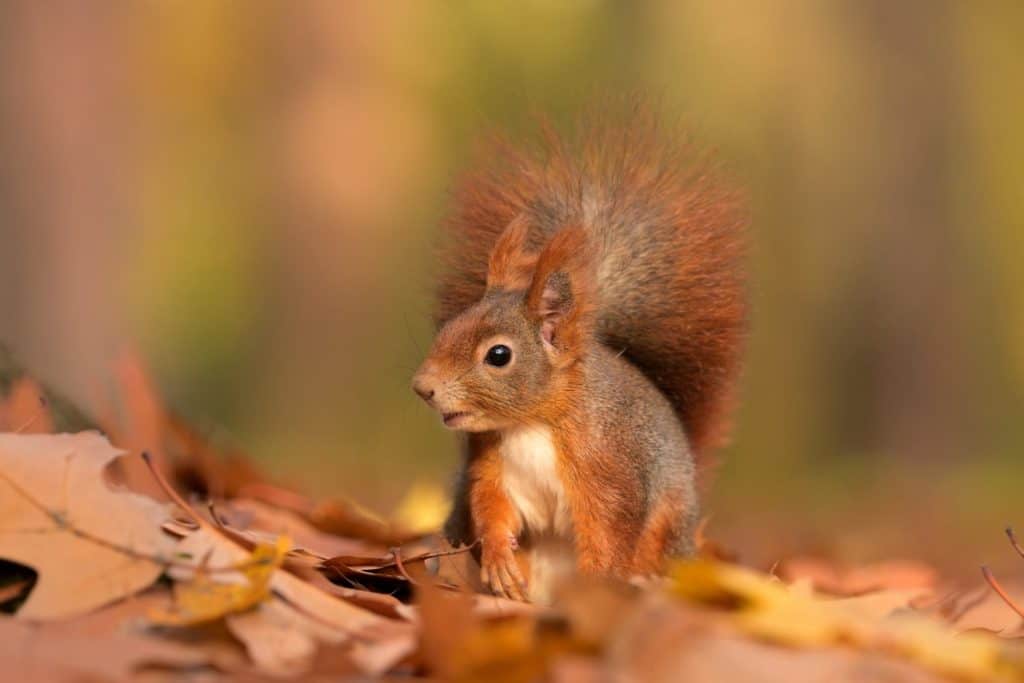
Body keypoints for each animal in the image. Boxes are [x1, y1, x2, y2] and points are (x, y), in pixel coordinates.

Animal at [412, 108, 747, 602]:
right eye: (452, 325)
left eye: (498, 355)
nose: (423, 387)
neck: (532, 423)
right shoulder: (491, 466)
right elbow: (492, 510)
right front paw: (498, 558)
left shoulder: (608, 468)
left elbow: (608, 533)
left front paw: (596, 586)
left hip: (668, 527)